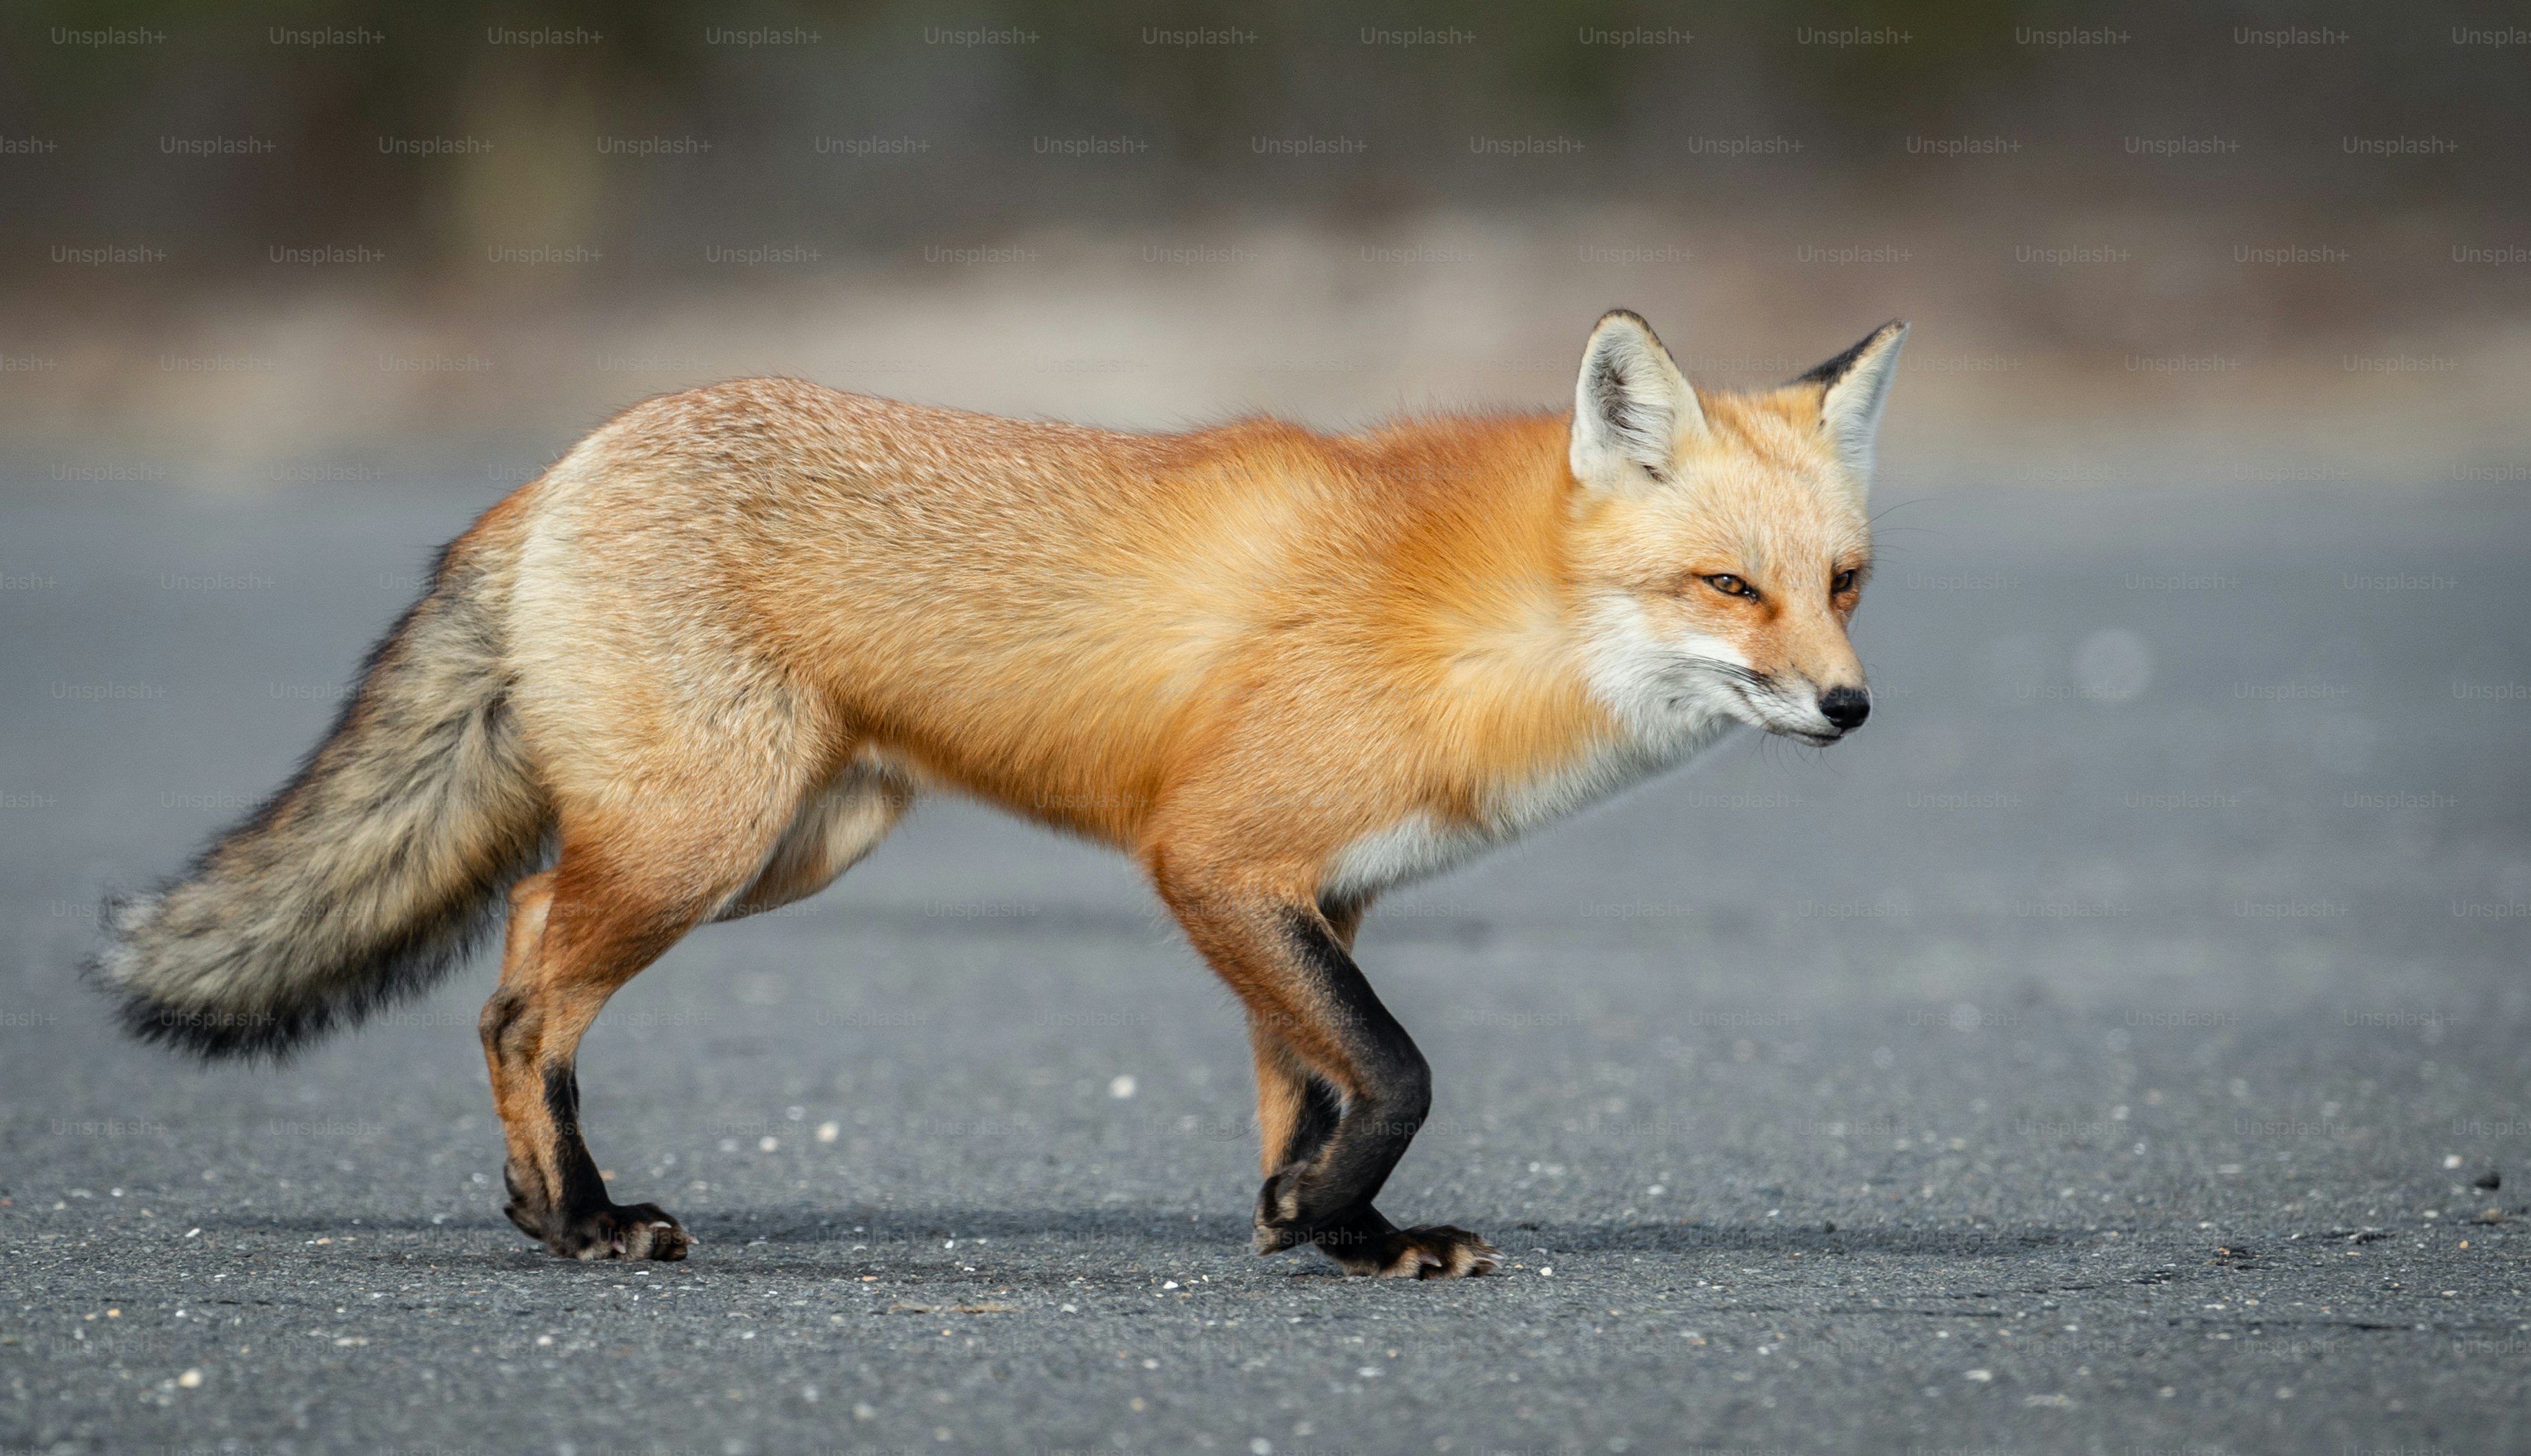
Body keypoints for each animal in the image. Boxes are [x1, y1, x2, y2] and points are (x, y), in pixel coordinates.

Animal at [91, 309, 1904, 1278]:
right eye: (1728, 586)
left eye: (1843, 583)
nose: (1850, 706)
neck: (1483, 623)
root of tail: (573, 457)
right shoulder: (1214, 859)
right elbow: (1394, 1071)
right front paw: (1326, 1216)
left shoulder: (1312, 891)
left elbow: (1310, 1089)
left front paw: (1331, 1232)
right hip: (703, 841)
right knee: (523, 981)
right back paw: (579, 1218)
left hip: (788, 843)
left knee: (527, 936)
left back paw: (544, 1207)